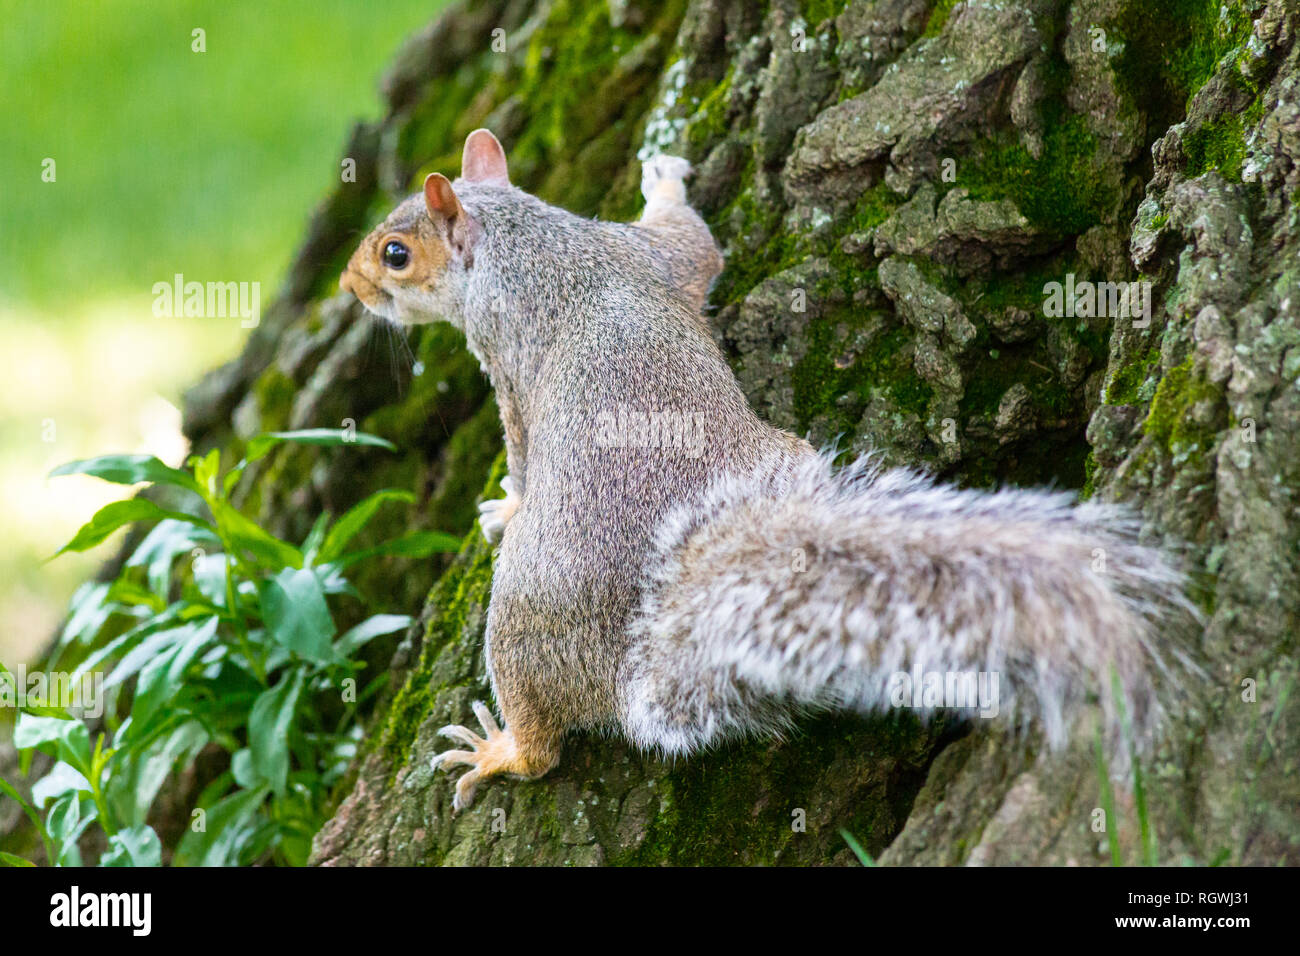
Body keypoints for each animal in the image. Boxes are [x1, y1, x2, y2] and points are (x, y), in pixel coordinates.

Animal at [340, 129, 1196, 811]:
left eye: (395, 254)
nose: (350, 287)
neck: (524, 241)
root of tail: (643, 648)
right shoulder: (647, 256)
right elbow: (695, 248)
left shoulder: (512, 364)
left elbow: (521, 455)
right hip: (791, 458)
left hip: (519, 618)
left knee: (544, 744)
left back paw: (501, 750)